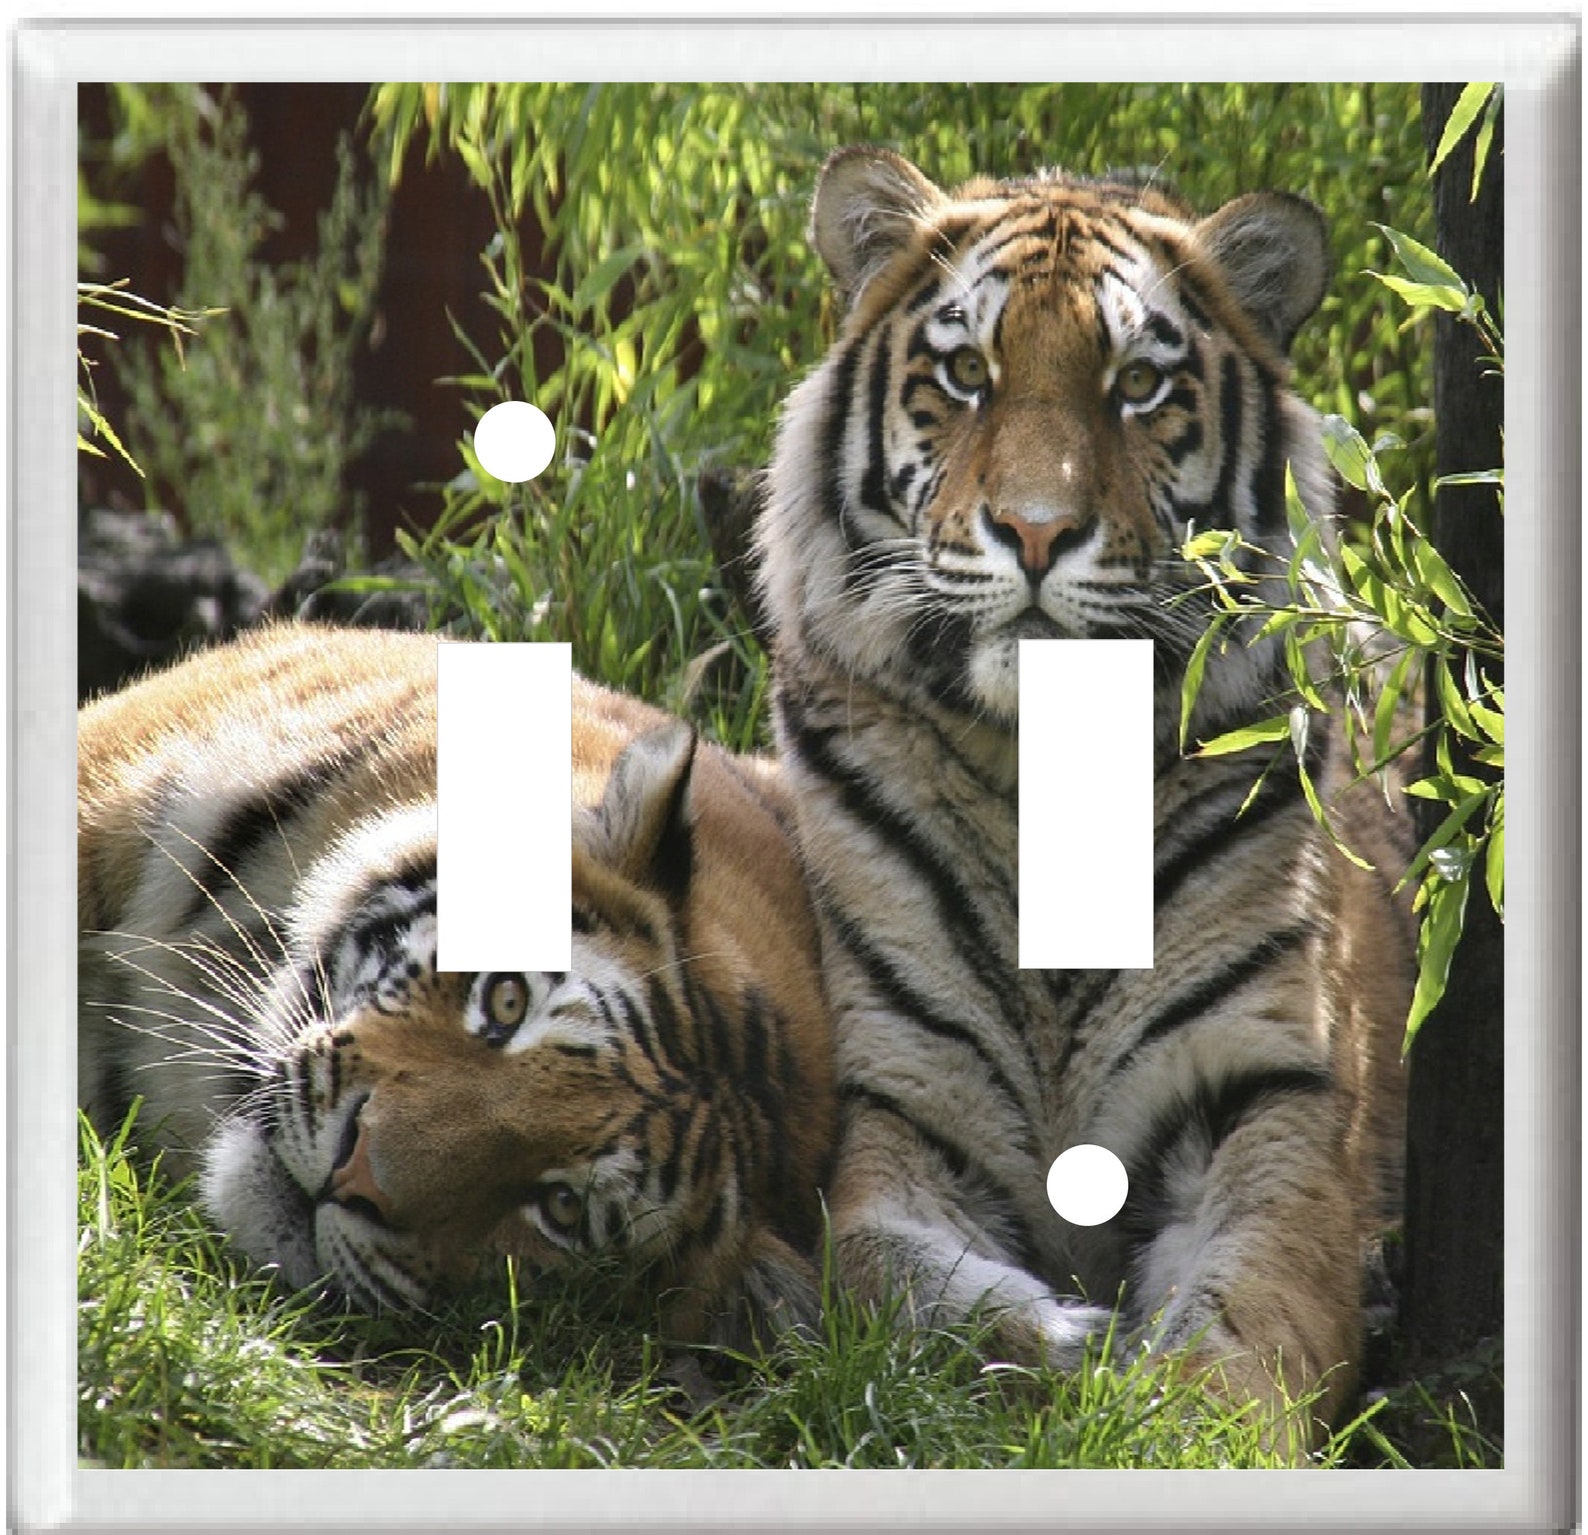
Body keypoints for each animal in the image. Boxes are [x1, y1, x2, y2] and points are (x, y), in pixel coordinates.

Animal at [752, 146, 1414, 1446]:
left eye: (1140, 385)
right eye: (965, 373)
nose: (1036, 528)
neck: (1038, 771)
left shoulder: (1275, 1098)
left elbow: (1249, 1316)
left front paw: (1172, 1426)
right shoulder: (900, 1108)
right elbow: (897, 1281)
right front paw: (1066, 1354)